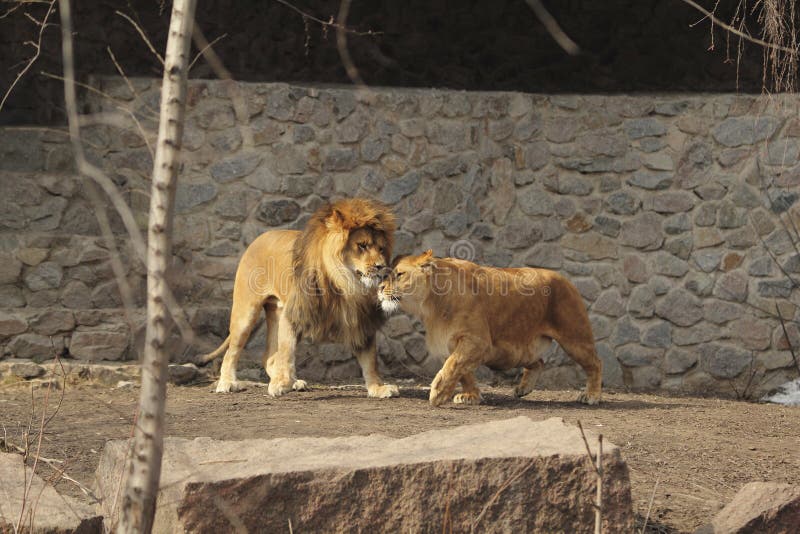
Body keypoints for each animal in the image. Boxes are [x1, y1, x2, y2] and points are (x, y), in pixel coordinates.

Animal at [199, 197, 400, 398]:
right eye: (362, 245)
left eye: (381, 248)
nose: (381, 266)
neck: (344, 283)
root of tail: (259, 238)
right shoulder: (294, 313)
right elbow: (287, 351)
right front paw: (281, 384)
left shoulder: (361, 319)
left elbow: (370, 360)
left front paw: (378, 388)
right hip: (246, 313)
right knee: (232, 352)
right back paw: (227, 383)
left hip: (276, 311)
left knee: (269, 356)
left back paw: (291, 381)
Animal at [378, 250, 602, 406]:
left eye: (399, 274)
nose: (379, 288)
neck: (431, 306)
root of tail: (566, 279)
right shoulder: (451, 343)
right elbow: (463, 370)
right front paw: (471, 396)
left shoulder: (477, 340)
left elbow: (454, 364)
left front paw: (438, 392)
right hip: (521, 350)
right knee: (539, 361)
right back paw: (523, 389)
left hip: (575, 337)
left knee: (595, 363)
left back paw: (591, 395)